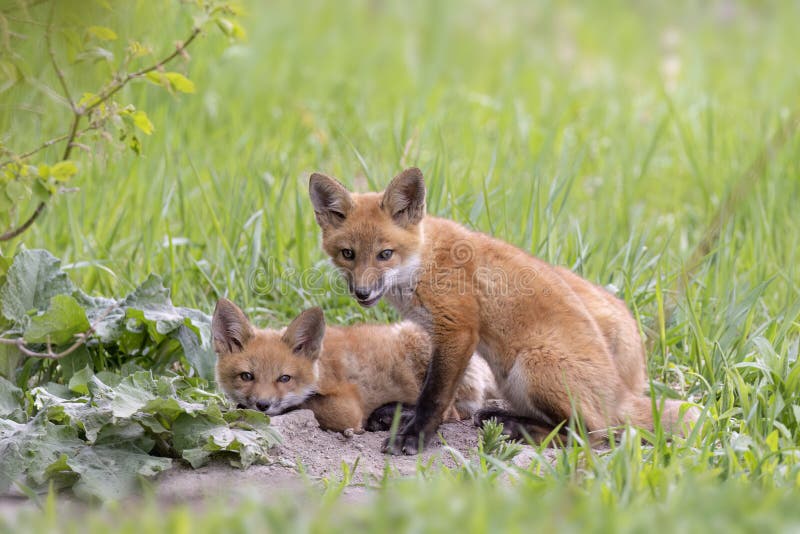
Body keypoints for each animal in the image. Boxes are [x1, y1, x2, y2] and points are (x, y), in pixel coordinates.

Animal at [211, 297, 495, 434]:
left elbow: (306, 406)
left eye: (284, 378)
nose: (263, 405)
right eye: (247, 376)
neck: (319, 368)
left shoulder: (346, 407)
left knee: (450, 413)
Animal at [309, 167, 699, 454]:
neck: (423, 261)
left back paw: (516, 428)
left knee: (593, 433)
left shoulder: (457, 329)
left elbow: (434, 397)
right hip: (509, 379)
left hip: (533, 365)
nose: (361, 292)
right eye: (348, 254)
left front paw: (413, 437)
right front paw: (404, 419)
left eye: (385, 254)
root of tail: (622, 392)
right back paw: (500, 417)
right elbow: (435, 396)